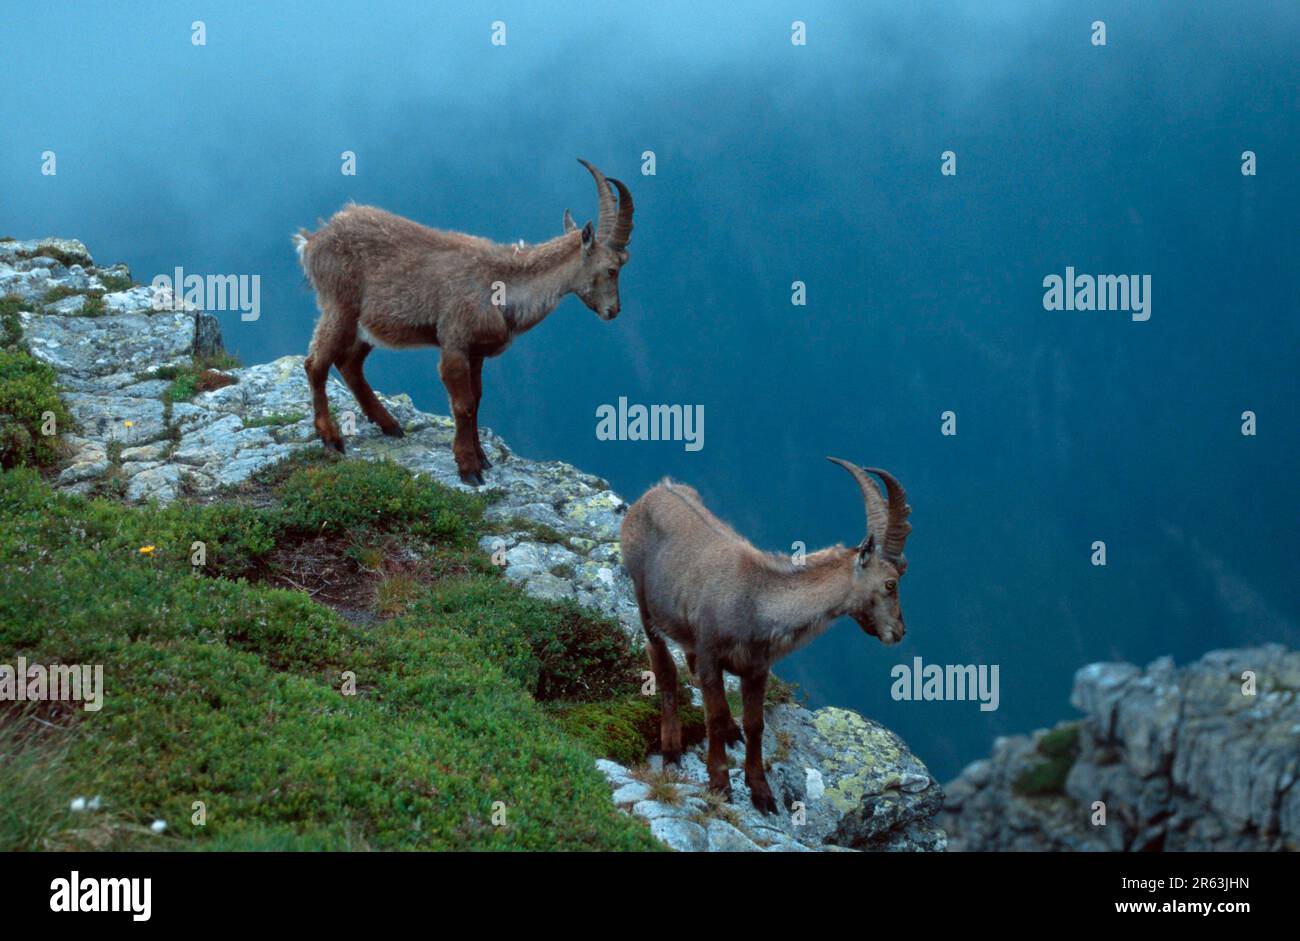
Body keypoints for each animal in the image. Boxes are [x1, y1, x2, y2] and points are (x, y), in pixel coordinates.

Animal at [293, 159, 634, 485]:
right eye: (612, 268)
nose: (614, 311)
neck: (503, 285)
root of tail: (312, 241)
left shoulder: (477, 352)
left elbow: (477, 400)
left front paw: (482, 458)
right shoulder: (455, 344)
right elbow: (463, 405)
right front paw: (468, 467)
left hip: (368, 326)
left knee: (349, 363)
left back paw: (389, 425)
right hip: (339, 308)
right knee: (316, 364)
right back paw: (331, 438)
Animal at [620, 458, 912, 813]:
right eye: (889, 583)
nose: (898, 631)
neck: (759, 599)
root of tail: (655, 491)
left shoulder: (757, 668)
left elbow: (755, 725)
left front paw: (761, 792)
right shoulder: (710, 654)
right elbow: (712, 716)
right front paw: (720, 784)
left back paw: (729, 731)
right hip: (646, 603)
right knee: (664, 667)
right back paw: (672, 753)